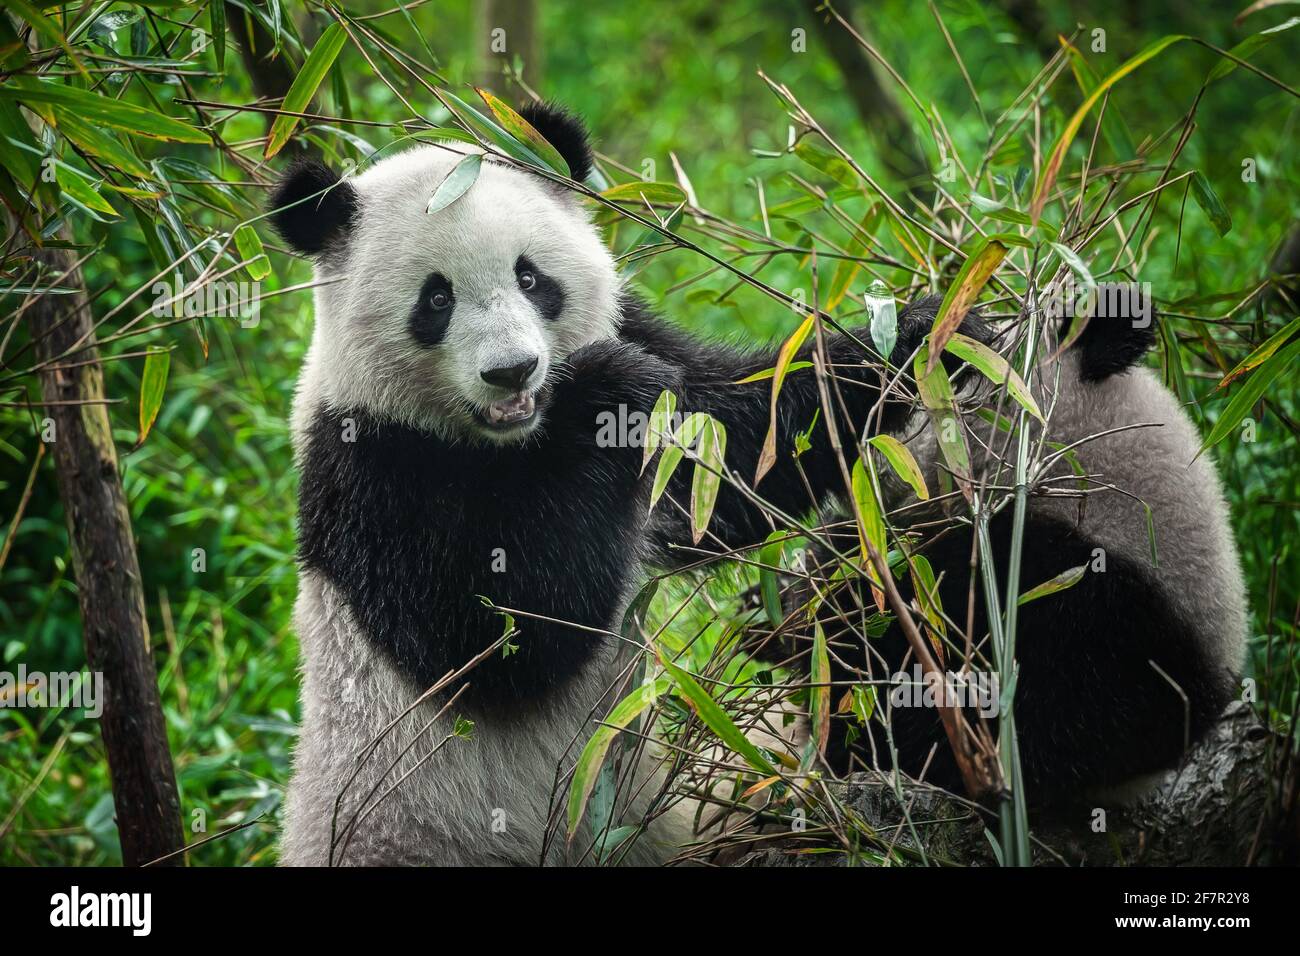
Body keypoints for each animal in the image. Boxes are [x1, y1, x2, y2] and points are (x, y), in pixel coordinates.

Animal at [270, 103, 1247, 866]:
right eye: (434, 300)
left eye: (531, 277)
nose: (514, 372)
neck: (512, 441)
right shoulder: (372, 467)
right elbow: (500, 642)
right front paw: (603, 395)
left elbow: (749, 445)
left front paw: (936, 330)